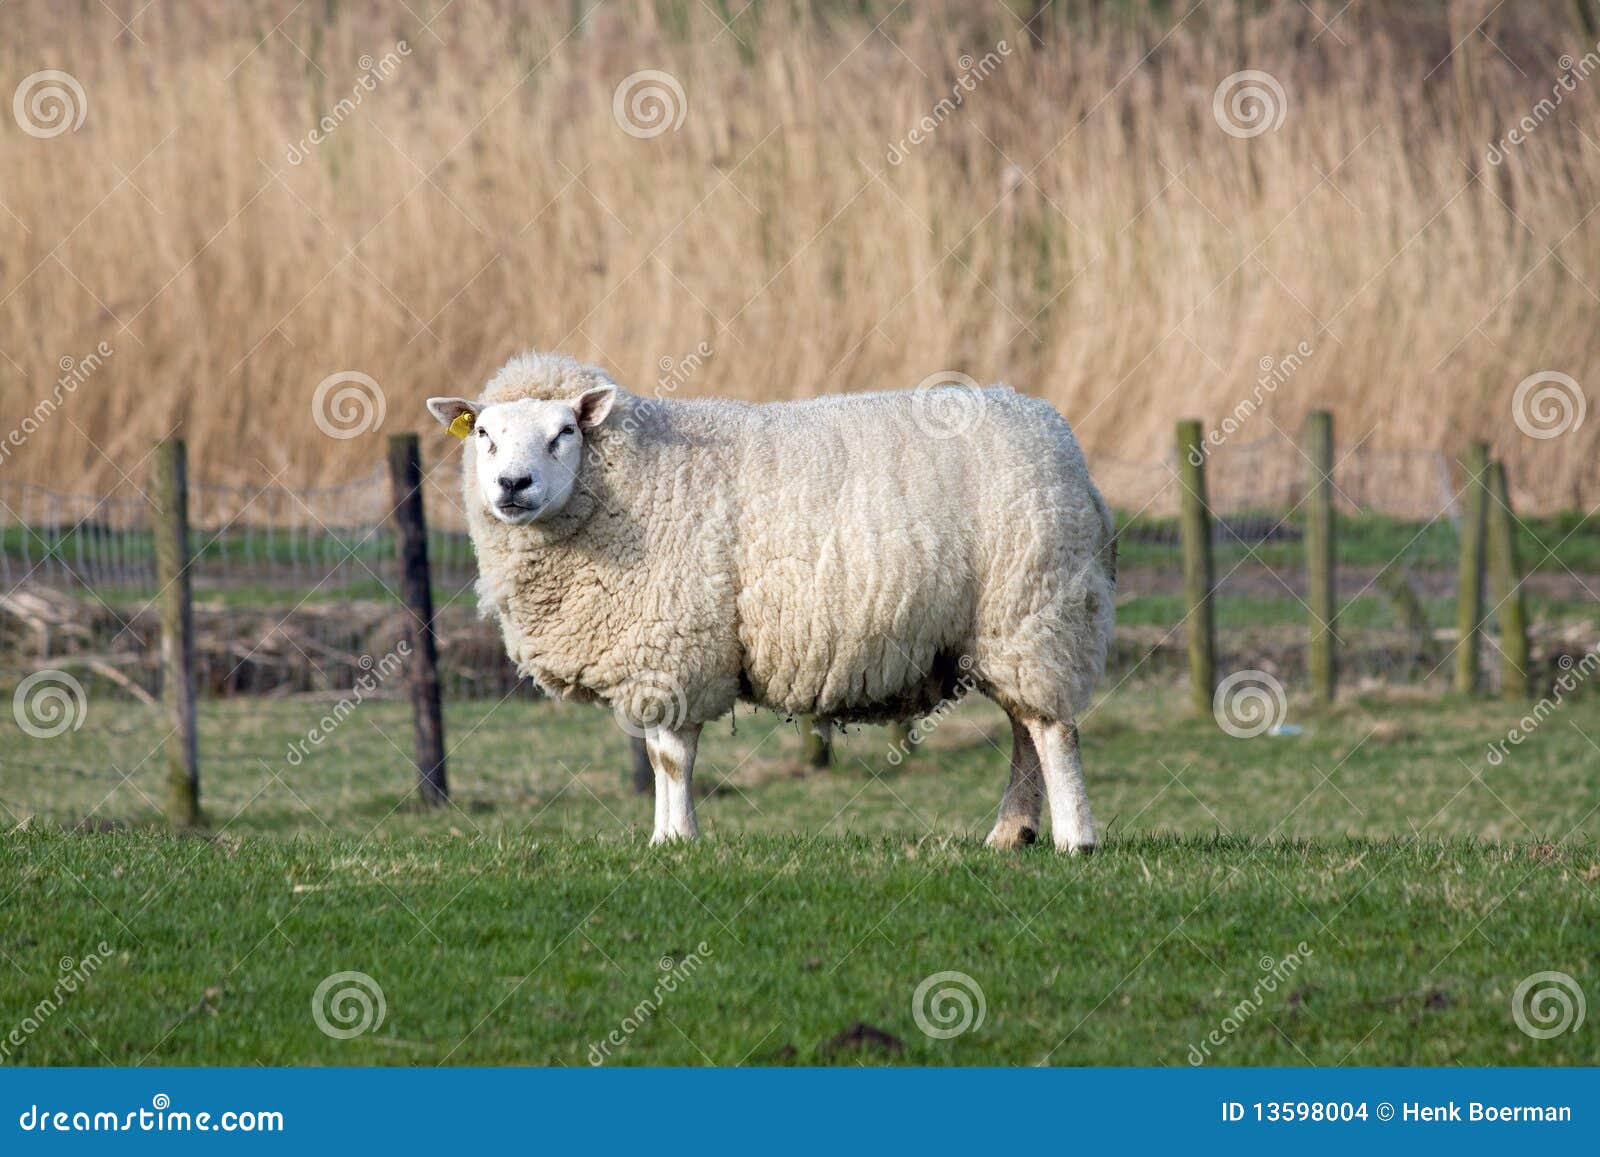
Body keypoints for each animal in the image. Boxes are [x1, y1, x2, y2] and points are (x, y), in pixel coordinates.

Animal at [427, 351, 1117, 851]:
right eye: (483, 433)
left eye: (564, 432)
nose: (512, 485)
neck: (630, 482)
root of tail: (1057, 436)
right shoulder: (661, 653)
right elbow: (658, 756)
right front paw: (664, 838)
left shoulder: (677, 642)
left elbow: (669, 756)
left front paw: (676, 841)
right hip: (1008, 631)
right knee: (1026, 726)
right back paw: (1011, 834)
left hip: (1034, 606)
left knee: (1053, 730)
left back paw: (1074, 839)